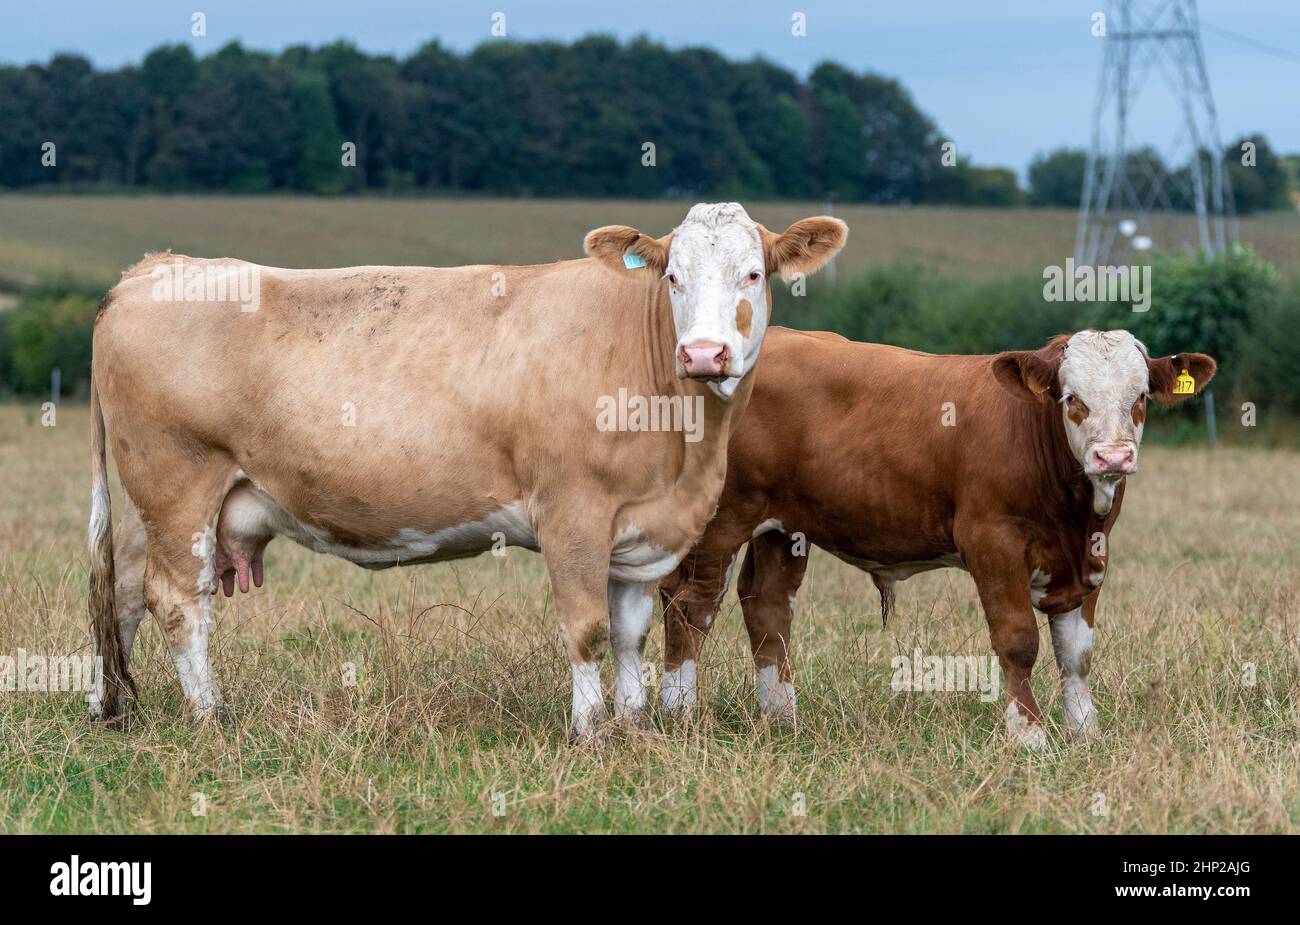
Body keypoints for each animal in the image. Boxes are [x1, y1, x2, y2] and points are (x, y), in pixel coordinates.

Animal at [87, 204, 848, 741]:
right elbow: (586, 628)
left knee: (122, 590)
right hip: (178, 482)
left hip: (157, 504)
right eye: (672, 277)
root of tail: (153, 269)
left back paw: (113, 708)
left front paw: (634, 727)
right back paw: (209, 717)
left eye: (753, 274)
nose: (704, 353)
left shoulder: (640, 531)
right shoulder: (573, 512)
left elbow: (629, 632)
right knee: (178, 601)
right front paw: (591, 732)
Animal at [659, 327, 1215, 747]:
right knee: (690, 605)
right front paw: (1029, 735)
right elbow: (1019, 641)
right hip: (721, 520)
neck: (1075, 516)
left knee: (768, 606)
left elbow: (1076, 653)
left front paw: (1083, 732)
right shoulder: (992, 542)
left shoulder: (1089, 558)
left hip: (784, 527)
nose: (1113, 458)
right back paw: (678, 712)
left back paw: (780, 718)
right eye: (1070, 398)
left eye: (1139, 398)